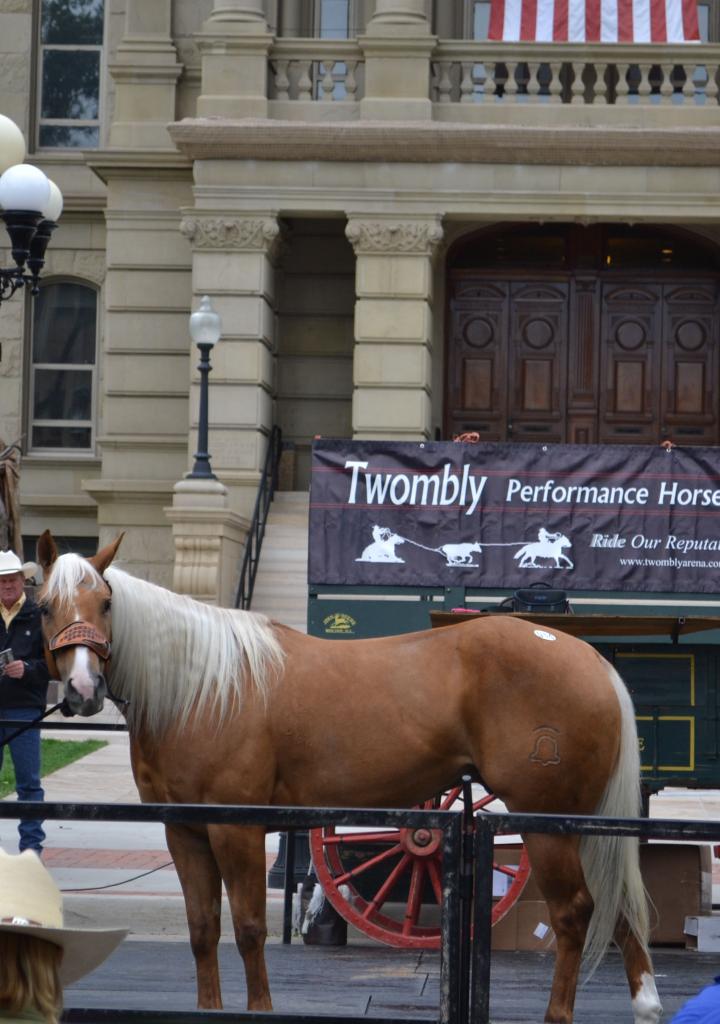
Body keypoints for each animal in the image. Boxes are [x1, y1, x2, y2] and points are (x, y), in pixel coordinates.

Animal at [35, 531, 661, 1024]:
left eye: (106, 602)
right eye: (43, 606)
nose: (83, 689)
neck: (203, 687)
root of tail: (585, 655)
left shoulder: (237, 831)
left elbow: (249, 930)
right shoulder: (185, 832)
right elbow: (202, 930)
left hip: (547, 825)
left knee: (575, 913)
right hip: (581, 825)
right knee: (616, 906)